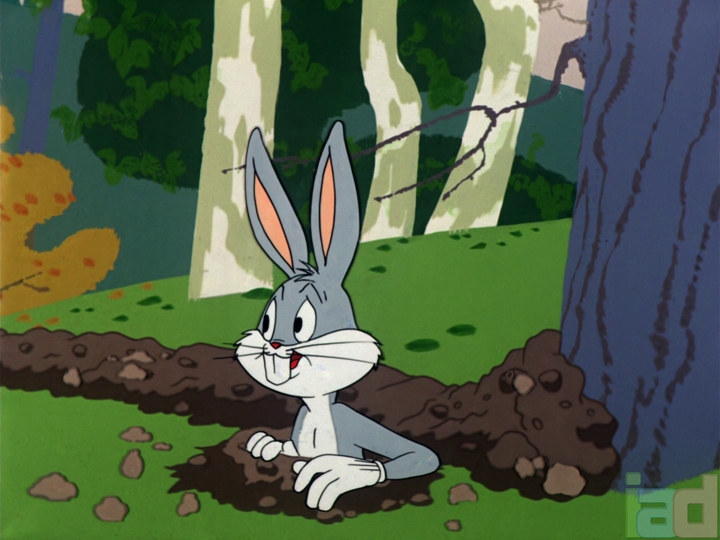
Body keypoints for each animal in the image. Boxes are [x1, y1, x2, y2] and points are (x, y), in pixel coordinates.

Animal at [234, 121, 440, 512]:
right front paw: (266, 445)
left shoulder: (346, 420)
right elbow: (288, 448)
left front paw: (337, 472)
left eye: (301, 324)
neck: (317, 410)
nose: (274, 344)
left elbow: (420, 455)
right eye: (267, 321)